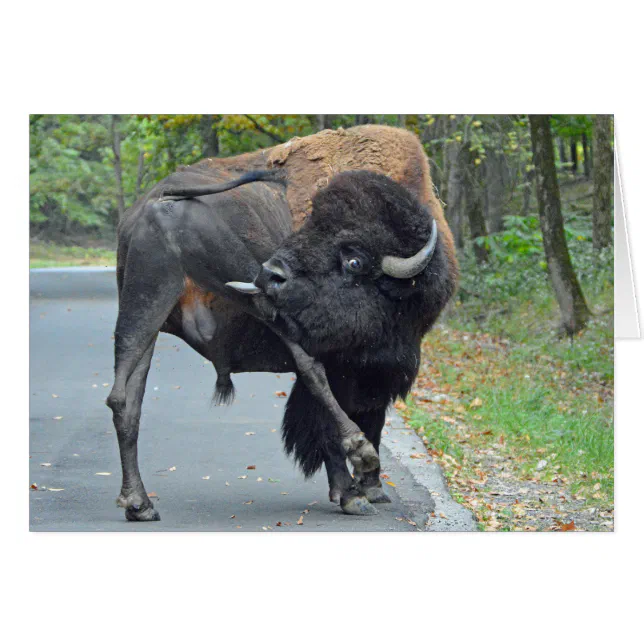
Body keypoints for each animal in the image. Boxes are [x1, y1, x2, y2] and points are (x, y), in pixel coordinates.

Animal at [107, 126, 458, 521]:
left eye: (353, 260)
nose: (271, 273)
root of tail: (156, 203)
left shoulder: (379, 372)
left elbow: (373, 416)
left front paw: (371, 489)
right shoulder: (350, 368)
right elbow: (328, 416)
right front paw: (352, 492)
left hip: (144, 309)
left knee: (125, 399)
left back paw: (139, 503)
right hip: (252, 294)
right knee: (309, 367)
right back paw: (360, 453)